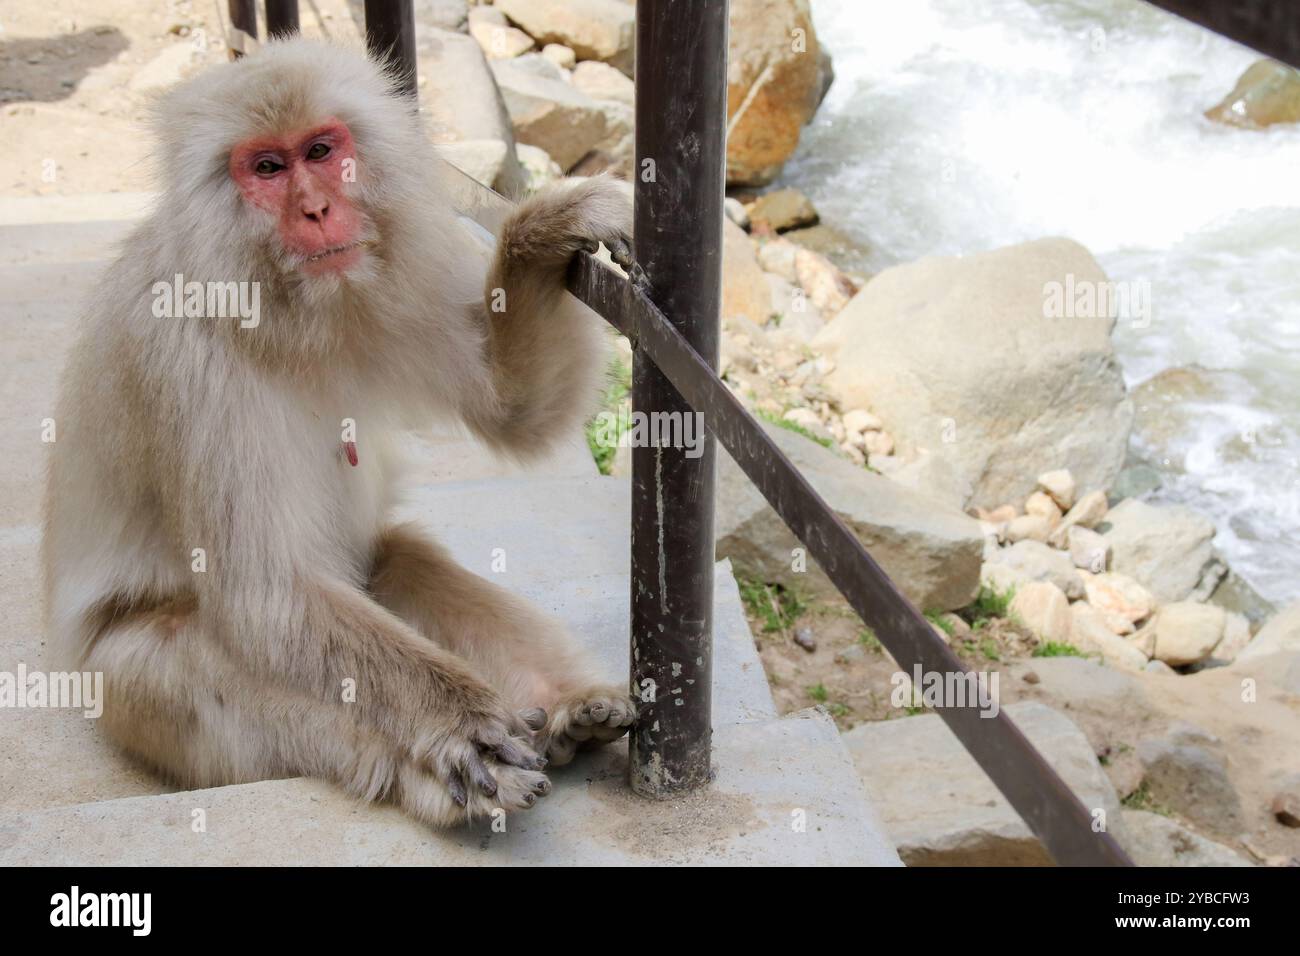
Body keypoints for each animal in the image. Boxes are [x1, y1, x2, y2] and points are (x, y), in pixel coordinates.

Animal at [41, 39, 638, 827]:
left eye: (321, 151)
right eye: (267, 168)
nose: (317, 209)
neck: (282, 307)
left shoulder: (396, 281)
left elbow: (513, 410)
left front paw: (542, 234)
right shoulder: (183, 361)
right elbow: (269, 597)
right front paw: (461, 725)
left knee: (402, 556)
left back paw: (565, 710)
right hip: (124, 689)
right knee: (202, 657)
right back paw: (424, 778)